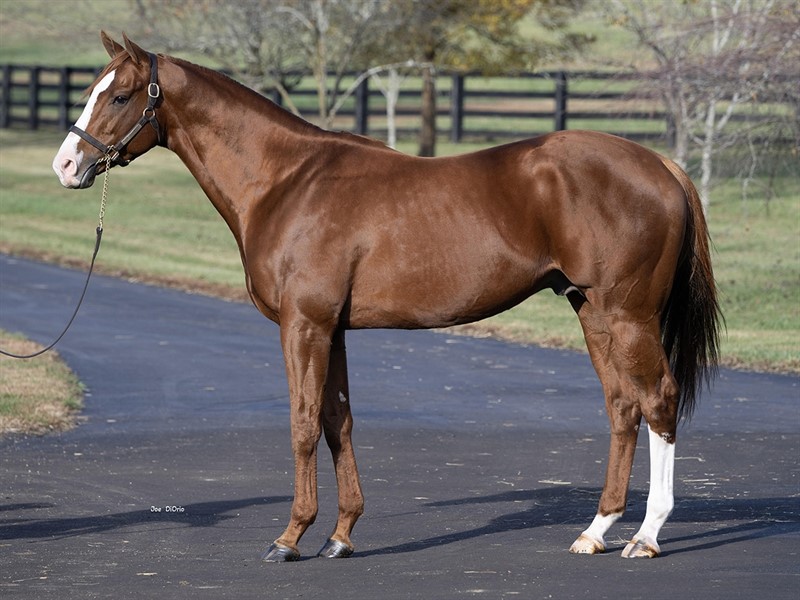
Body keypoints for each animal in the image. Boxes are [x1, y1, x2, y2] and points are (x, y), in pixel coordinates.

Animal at [53, 33, 721, 562]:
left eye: (118, 96)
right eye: (92, 89)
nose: (65, 165)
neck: (286, 181)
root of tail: (660, 164)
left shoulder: (303, 325)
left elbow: (302, 424)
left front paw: (290, 538)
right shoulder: (332, 329)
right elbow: (337, 422)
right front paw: (340, 535)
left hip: (628, 315)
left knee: (658, 401)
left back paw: (647, 536)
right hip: (591, 312)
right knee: (622, 406)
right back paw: (596, 531)